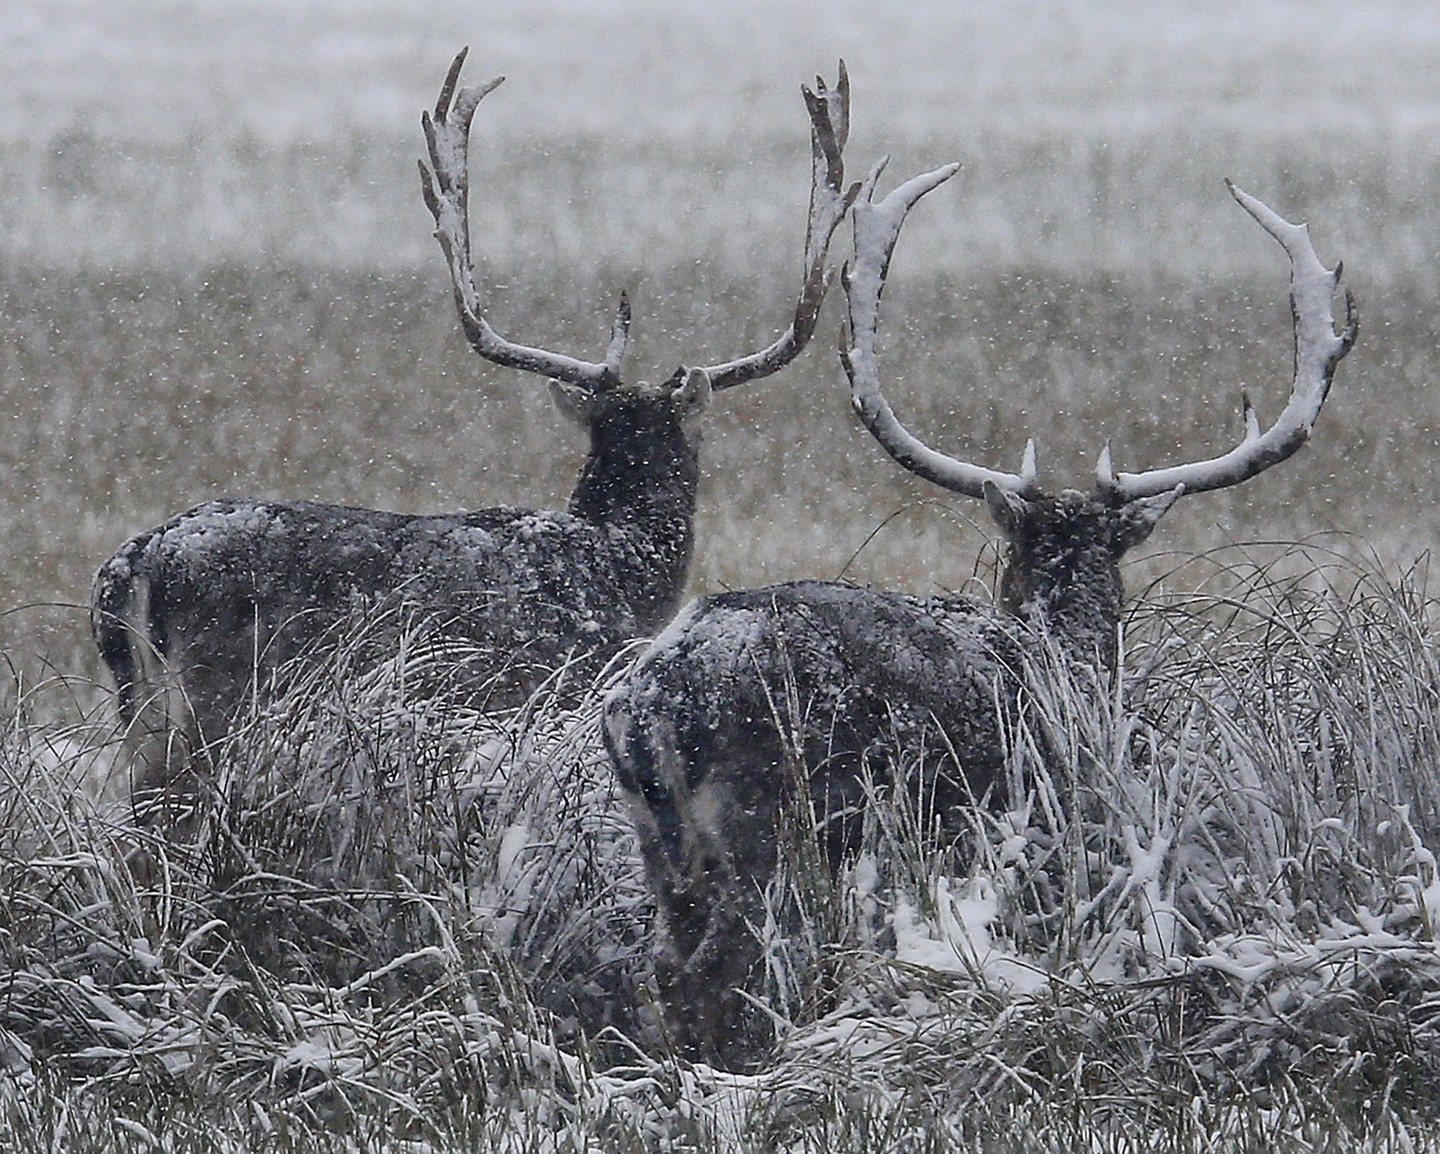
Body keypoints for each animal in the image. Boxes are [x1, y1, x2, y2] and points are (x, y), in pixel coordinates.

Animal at [601, 162, 1357, 1067]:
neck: (1068, 658)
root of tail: (659, 697)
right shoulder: (1037, 816)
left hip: (661, 839)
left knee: (660, 963)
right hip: (772, 822)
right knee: (715, 969)